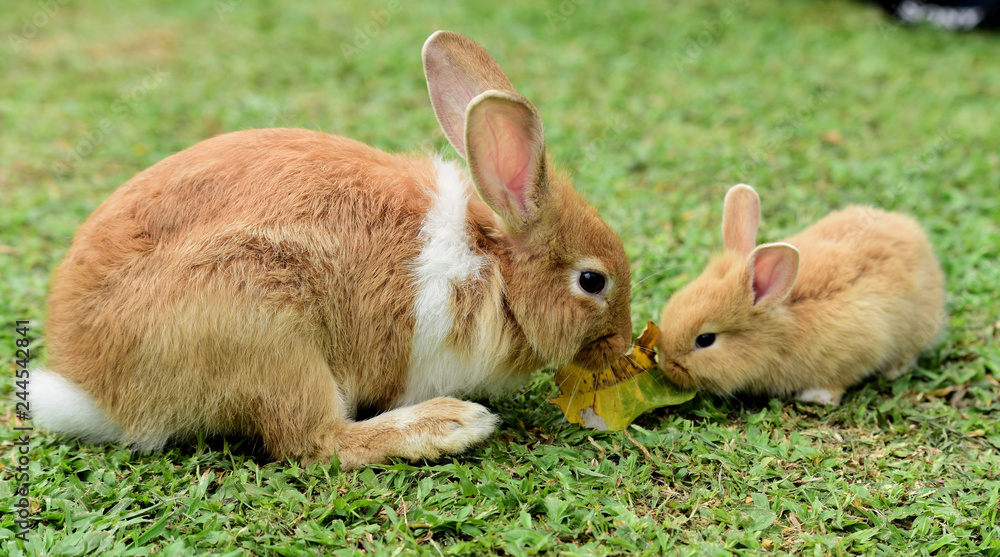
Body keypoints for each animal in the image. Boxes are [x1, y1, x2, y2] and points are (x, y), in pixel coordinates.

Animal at [29, 31, 633, 470]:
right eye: (593, 281)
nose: (624, 345)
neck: (494, 267)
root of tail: (100, 392)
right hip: (267, 332)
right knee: (316, 442)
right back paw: (452, 425)